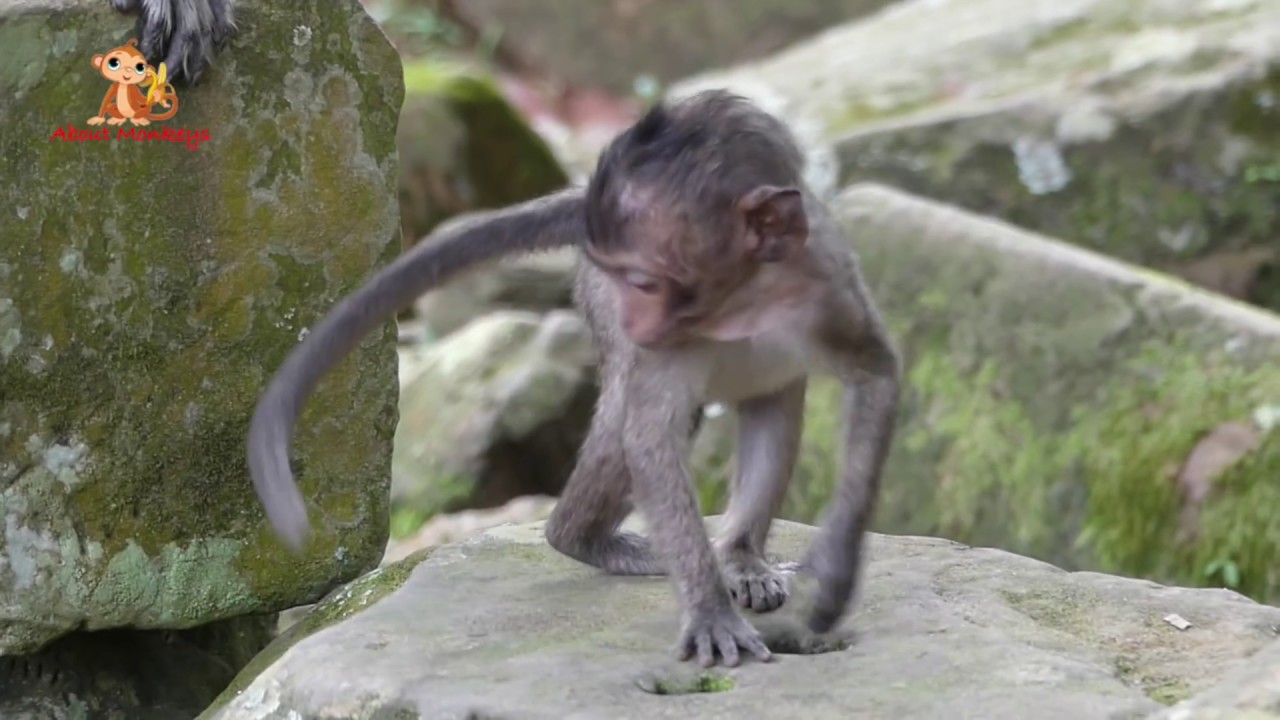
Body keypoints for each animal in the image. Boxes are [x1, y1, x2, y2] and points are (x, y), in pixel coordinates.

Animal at [247, 90, 901, 668]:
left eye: (645, 280)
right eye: (626, 279)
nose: (634, 319)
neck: (742, 305)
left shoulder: (826, 283)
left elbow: (874, 375)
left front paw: (837, 565)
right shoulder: (661, 340)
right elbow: (649, 434)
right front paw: (710, 610)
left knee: (773, 405)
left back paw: (740, 557)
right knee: (634, 420)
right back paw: (580, 539)